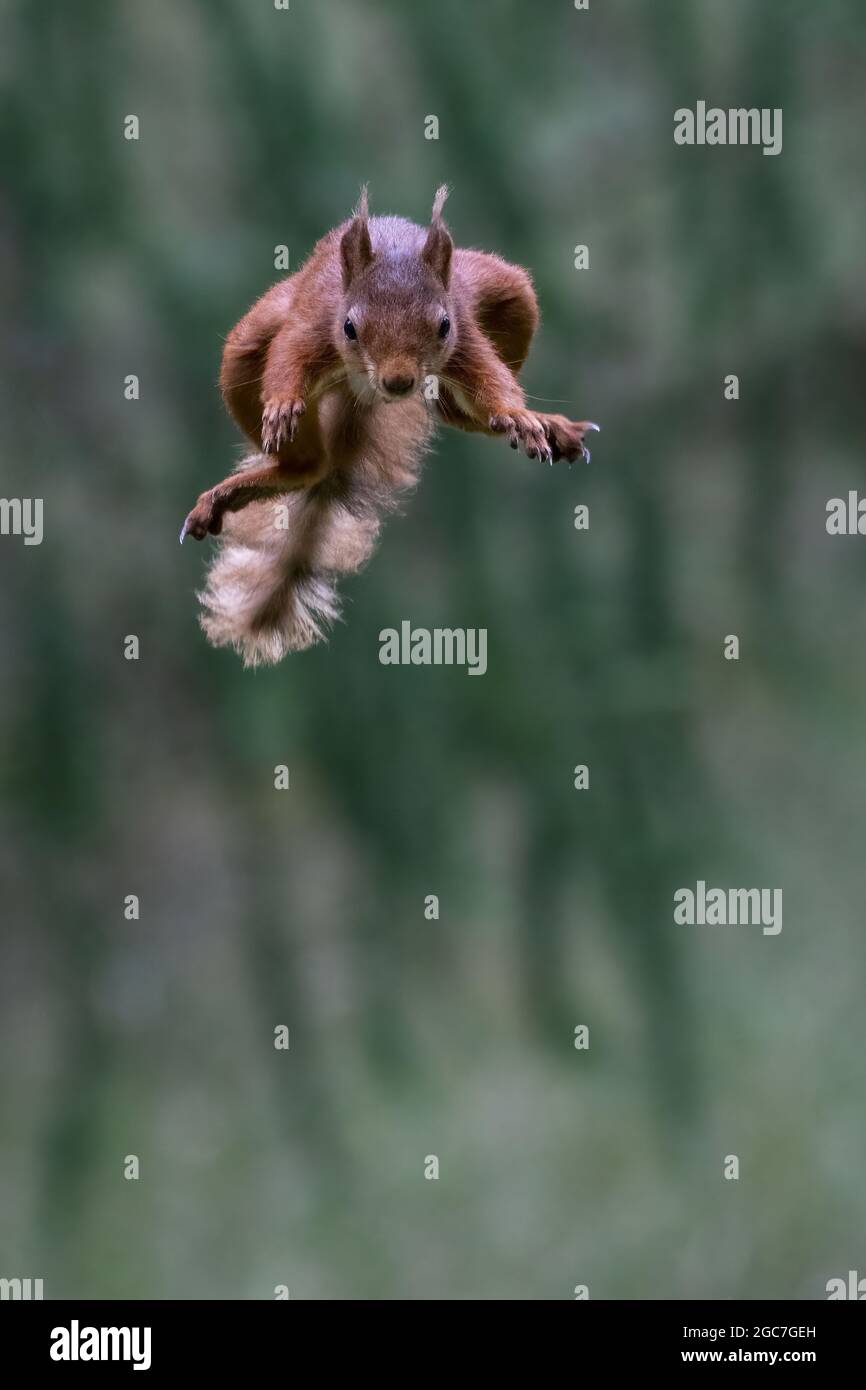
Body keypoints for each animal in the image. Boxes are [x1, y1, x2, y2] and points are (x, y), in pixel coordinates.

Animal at [181, 186, 599, 666]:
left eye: (442, 326)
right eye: (349, 327)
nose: (398, 382)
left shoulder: (465, 336)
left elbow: (494, 383)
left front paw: (519, 418)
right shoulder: (312, 322)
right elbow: (287, 360)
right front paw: (284, 404)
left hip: (504, 286)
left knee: (455, 411)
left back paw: (545, 426)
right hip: (253, 337)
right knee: (306, 460)